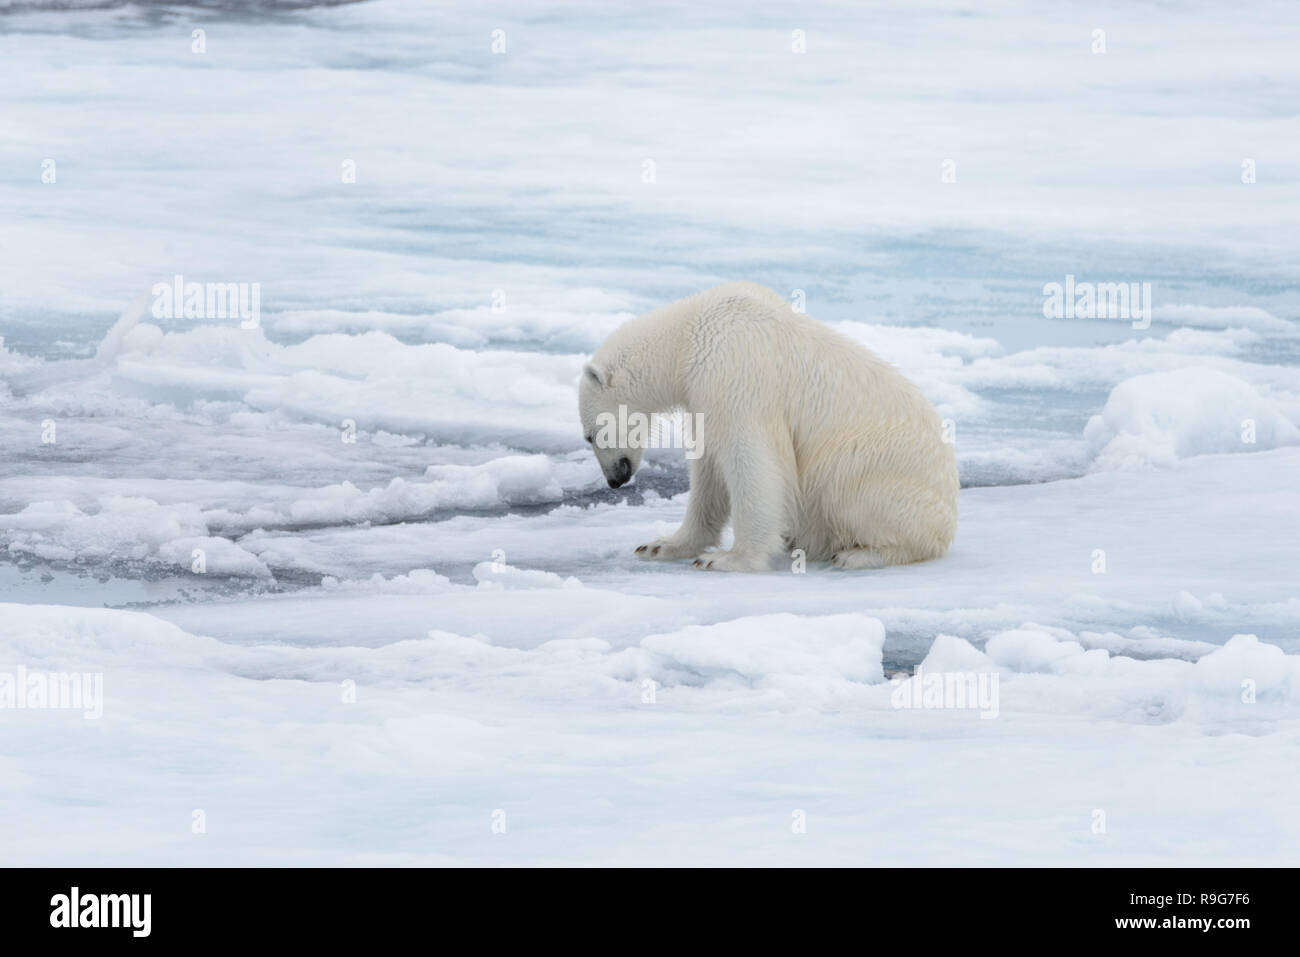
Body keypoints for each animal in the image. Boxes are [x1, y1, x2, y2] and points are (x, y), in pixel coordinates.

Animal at [578, 282, 959, 572]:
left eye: (589, 435)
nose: (615, 480)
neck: (687, 337)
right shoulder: (703, 393)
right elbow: (709, 468)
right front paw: (662, 545)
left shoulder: (737, 370)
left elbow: (752, 459)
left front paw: (727, 559)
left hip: (879, 468)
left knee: (848, 489)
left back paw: (859, 554)